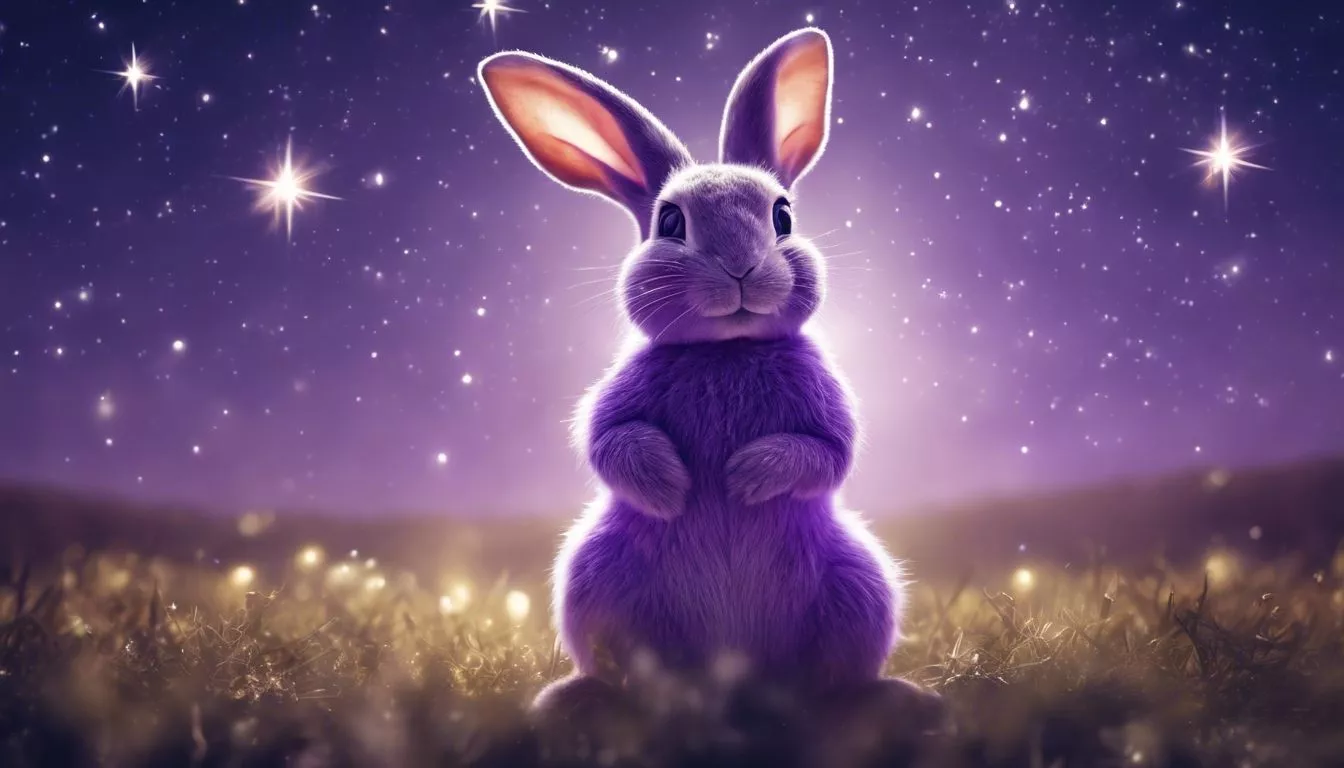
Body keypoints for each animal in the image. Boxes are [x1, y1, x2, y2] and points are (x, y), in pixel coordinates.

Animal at [477, 28, 943, 731]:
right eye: (670, 222)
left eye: (782, 217)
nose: (742, 267)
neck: (726, 352)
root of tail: (732, 683)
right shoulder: (619, 401)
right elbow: (611, 441)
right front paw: (673, 488)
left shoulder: (825, 407)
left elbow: (826, 452)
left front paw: (744, 477)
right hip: (596, 576)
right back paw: (576, 702)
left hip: (858, 584)